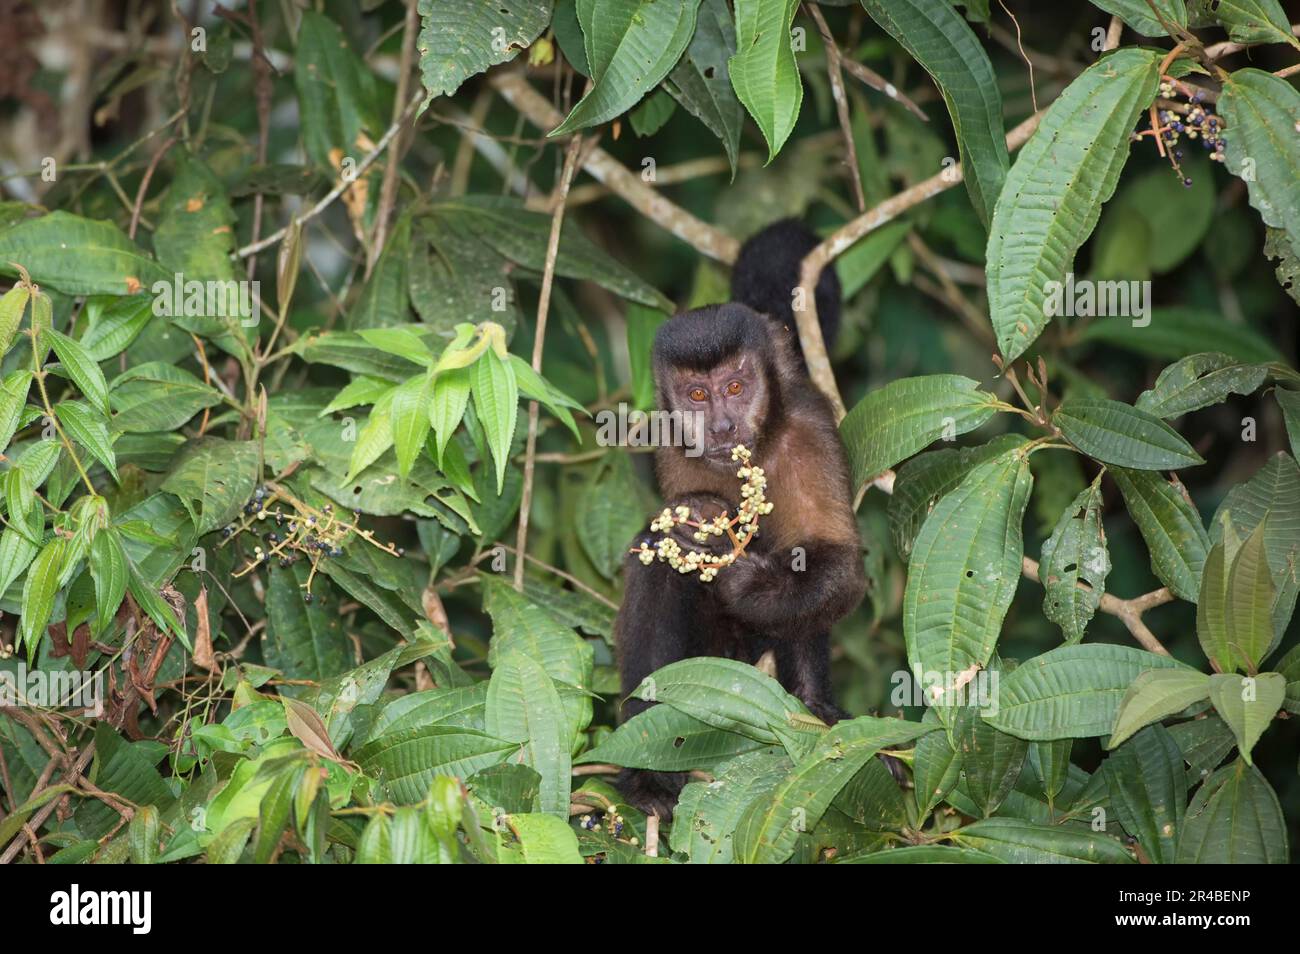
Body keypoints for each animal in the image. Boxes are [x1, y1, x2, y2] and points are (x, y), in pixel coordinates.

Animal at [614, 220, 865, 819]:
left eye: (735, 387)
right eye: (697, 395)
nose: (724, 426)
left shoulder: (809, 434)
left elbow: (831, 560)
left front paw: (740, 578)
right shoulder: (673, 443)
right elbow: (670, 532)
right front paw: (701, 519)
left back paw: (813, 711)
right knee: (659, 562)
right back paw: (647, 767)